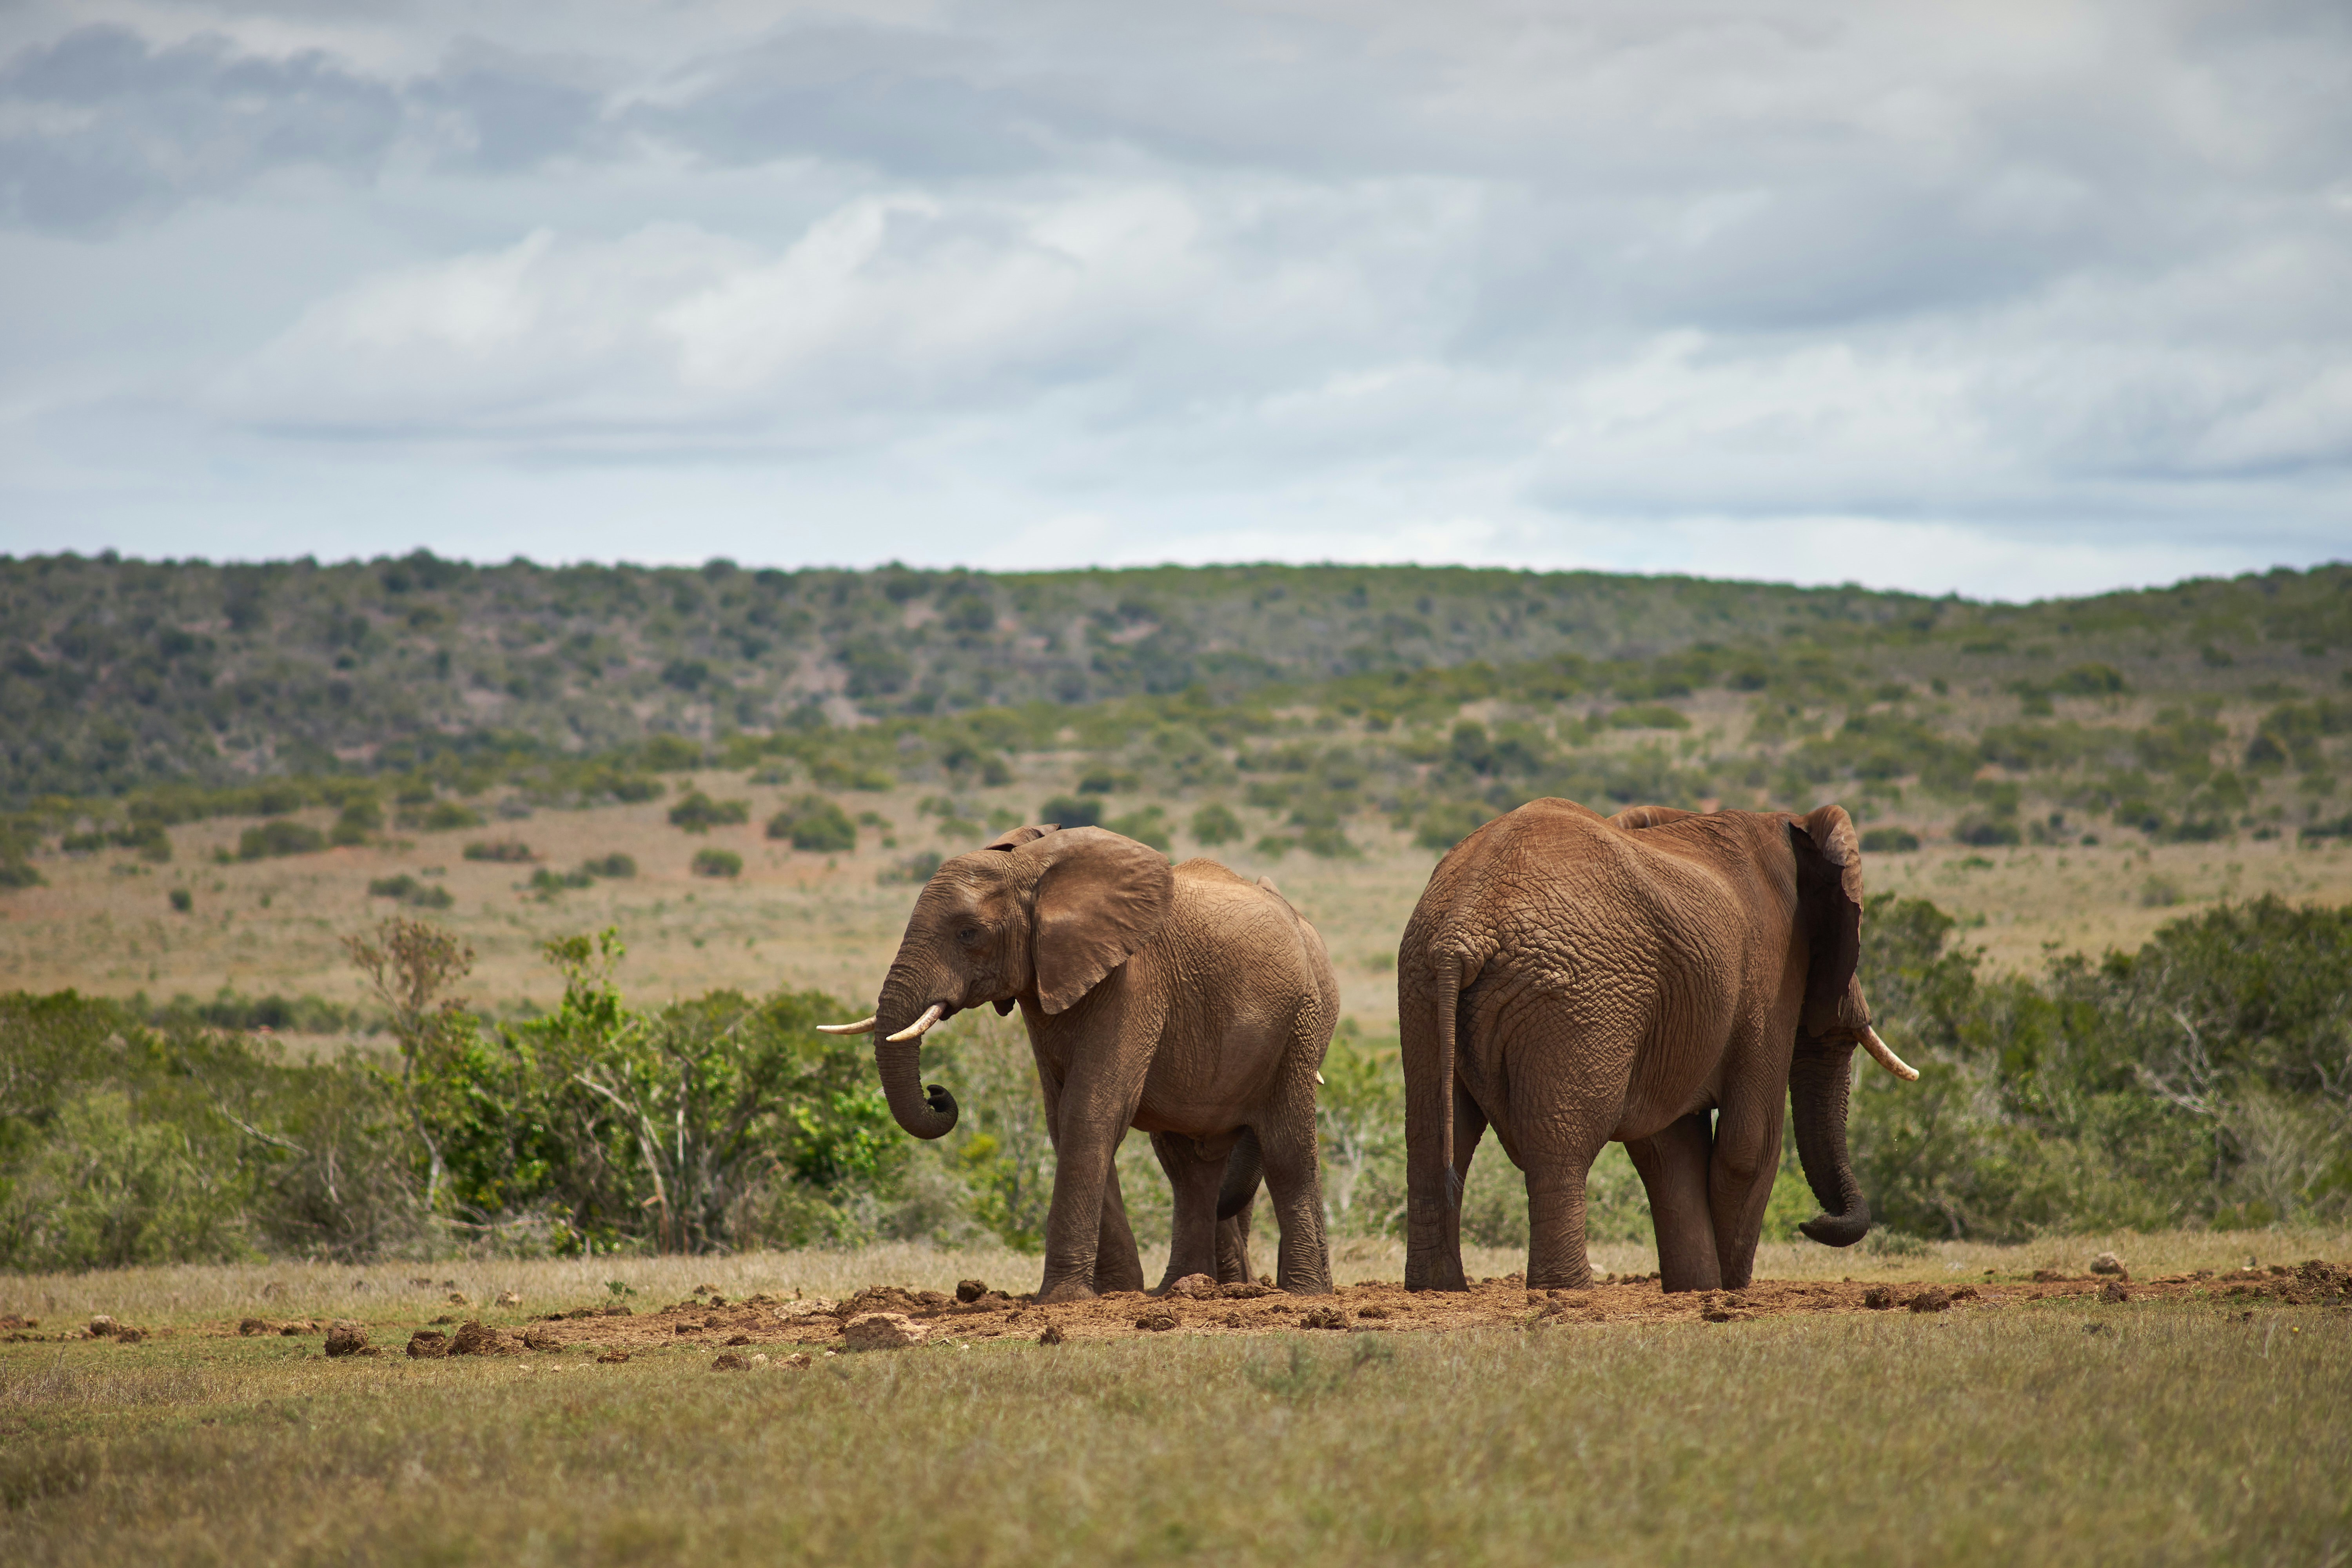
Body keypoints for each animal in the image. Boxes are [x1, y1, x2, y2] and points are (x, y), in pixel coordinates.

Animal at [819, 823, 1337, 1302]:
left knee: (1288, 1151)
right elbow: (1062, 1117)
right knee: (1190, 1167)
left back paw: (1304, 1293)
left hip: (1298, 1025)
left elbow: (1092, 1110)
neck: (1034, 870)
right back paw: (1180, 1289)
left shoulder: (1133, 980)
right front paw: (1116, 1292)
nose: (937, 1093)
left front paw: (1064, 1299)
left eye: (969, 934)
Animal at [1397, 798, 1918, 1295]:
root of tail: (1465, 926)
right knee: (1561, 1144)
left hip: (1423, 981)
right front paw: (1728, 1287)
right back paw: (1569, 1291)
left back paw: (1438, 1289)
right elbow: (1751, 1142)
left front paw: (1697, 1288)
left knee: (1433, 1135)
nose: (1812, 1222)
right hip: (1573, 995)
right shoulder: (1771, 970)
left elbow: (1669, 1150)